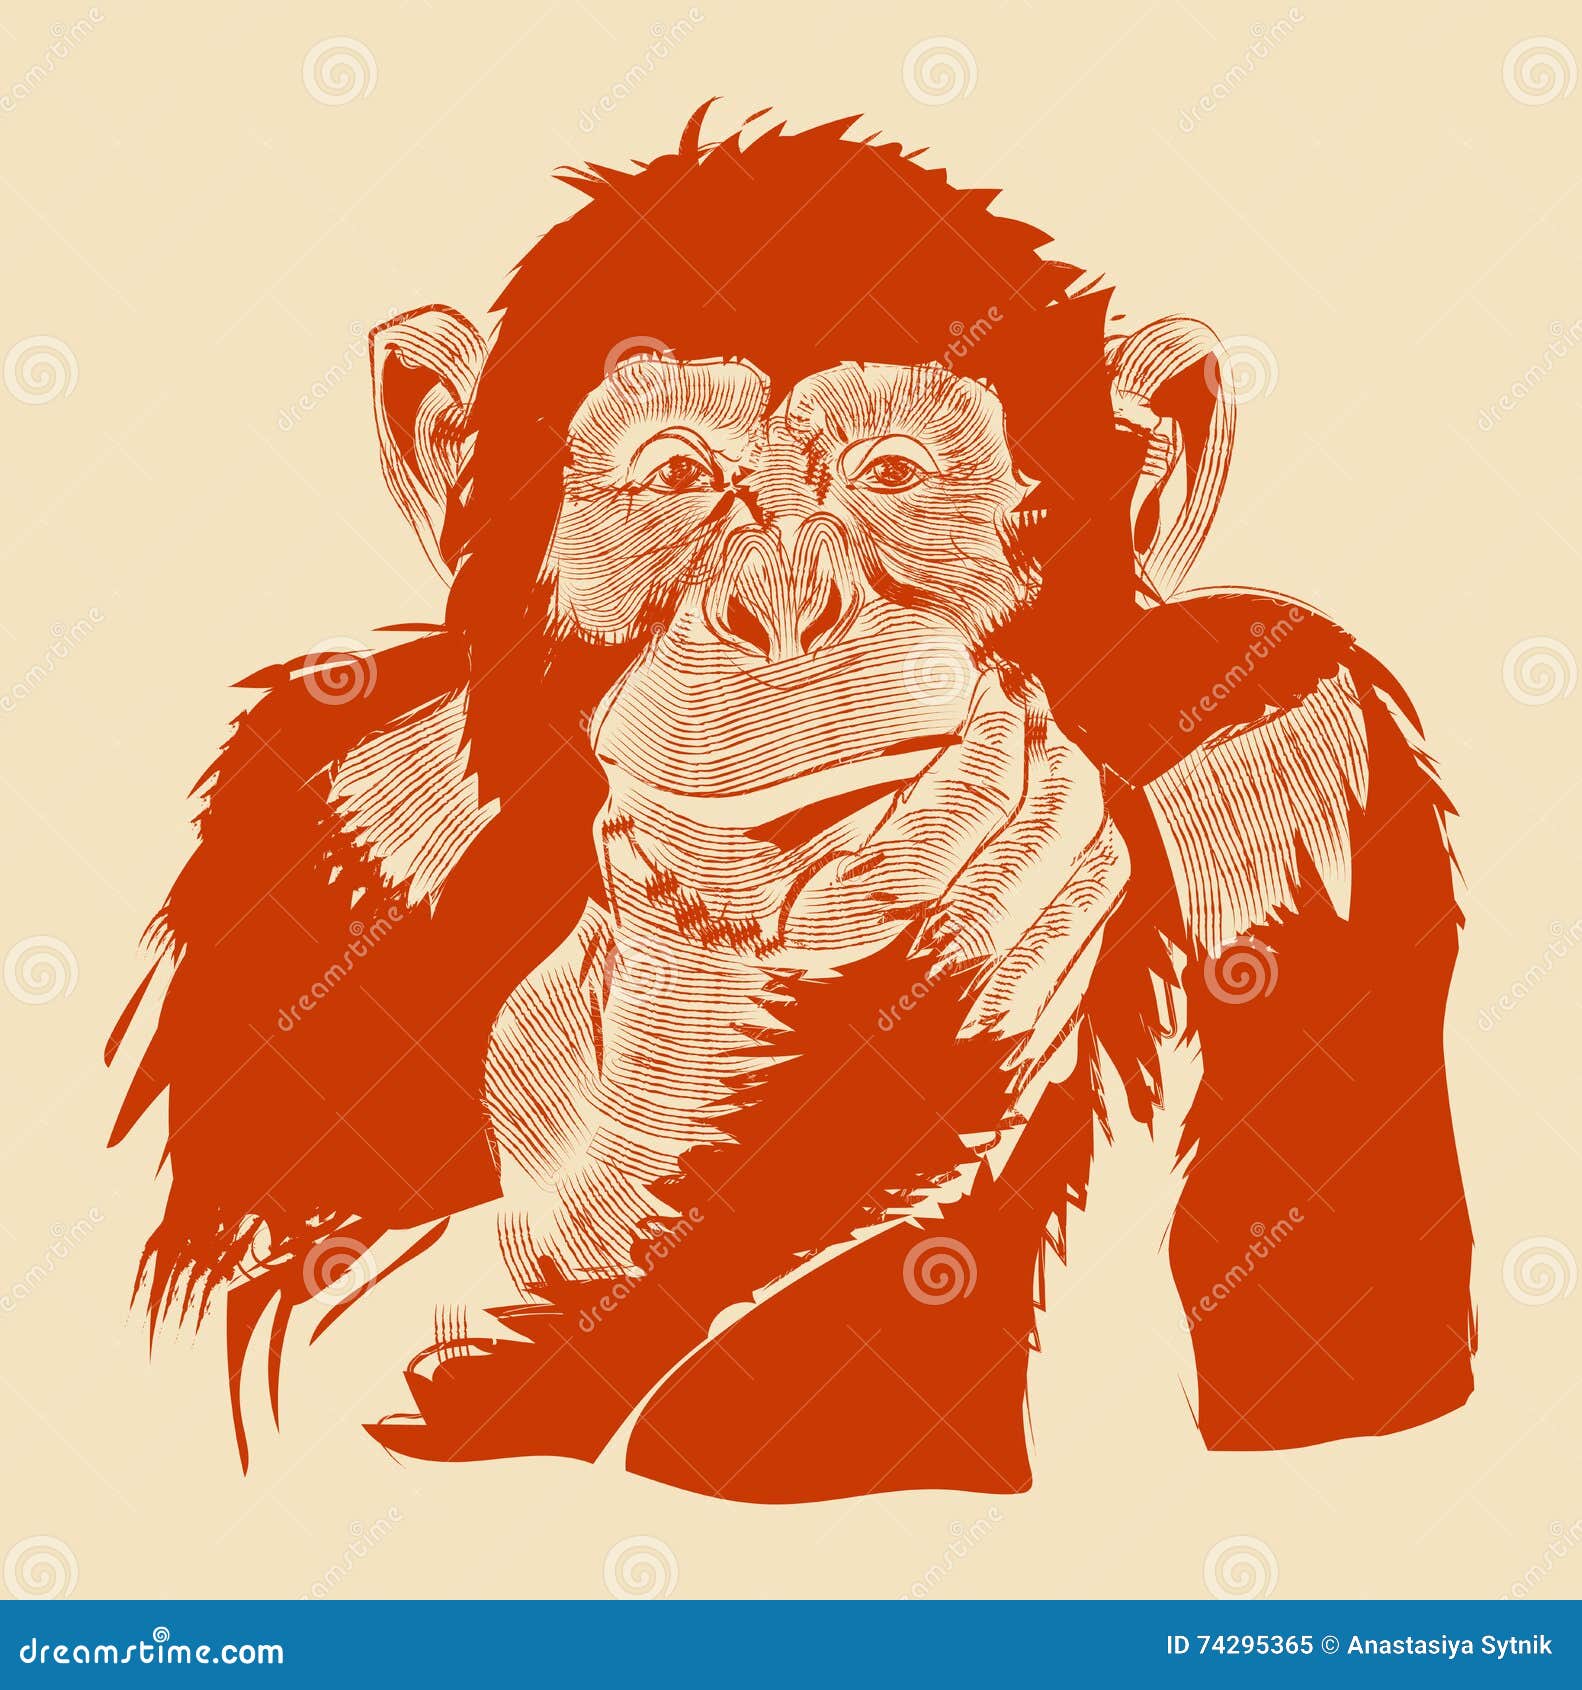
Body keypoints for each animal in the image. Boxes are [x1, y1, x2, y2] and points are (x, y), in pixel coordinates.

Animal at [109, 108, 1473, 1501]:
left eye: (890, 471)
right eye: (675, 472)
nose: (780, 601)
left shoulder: (1300, 749)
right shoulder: (305, 811)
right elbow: (248, 1317)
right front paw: (759, 1064)